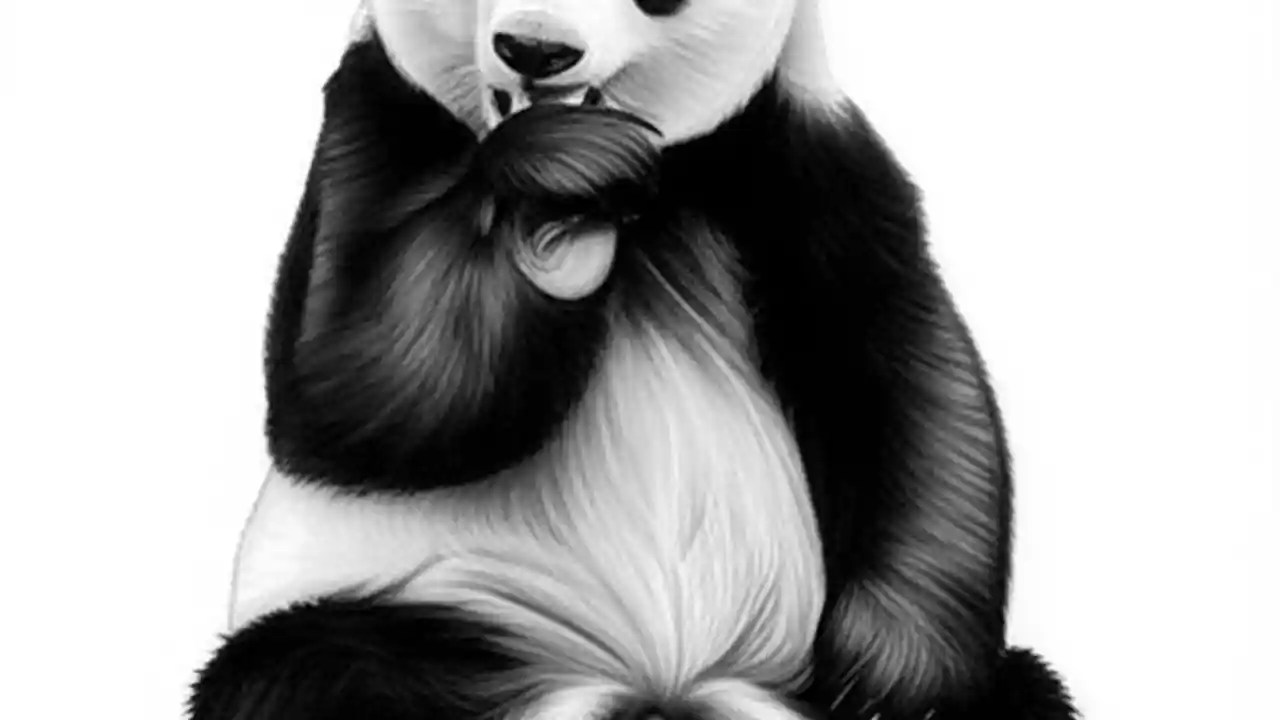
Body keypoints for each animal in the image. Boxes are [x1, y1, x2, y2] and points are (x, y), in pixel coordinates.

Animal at [190, 1, 1077, 719]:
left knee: (1021, 692)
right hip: (452, 615)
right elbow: (364, 386)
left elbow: (901, 369)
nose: (535, 49)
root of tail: (655, 691)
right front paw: (560, 167)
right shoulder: (376, 115)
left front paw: (886, 674)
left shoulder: (802, 152)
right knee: (306, 672)